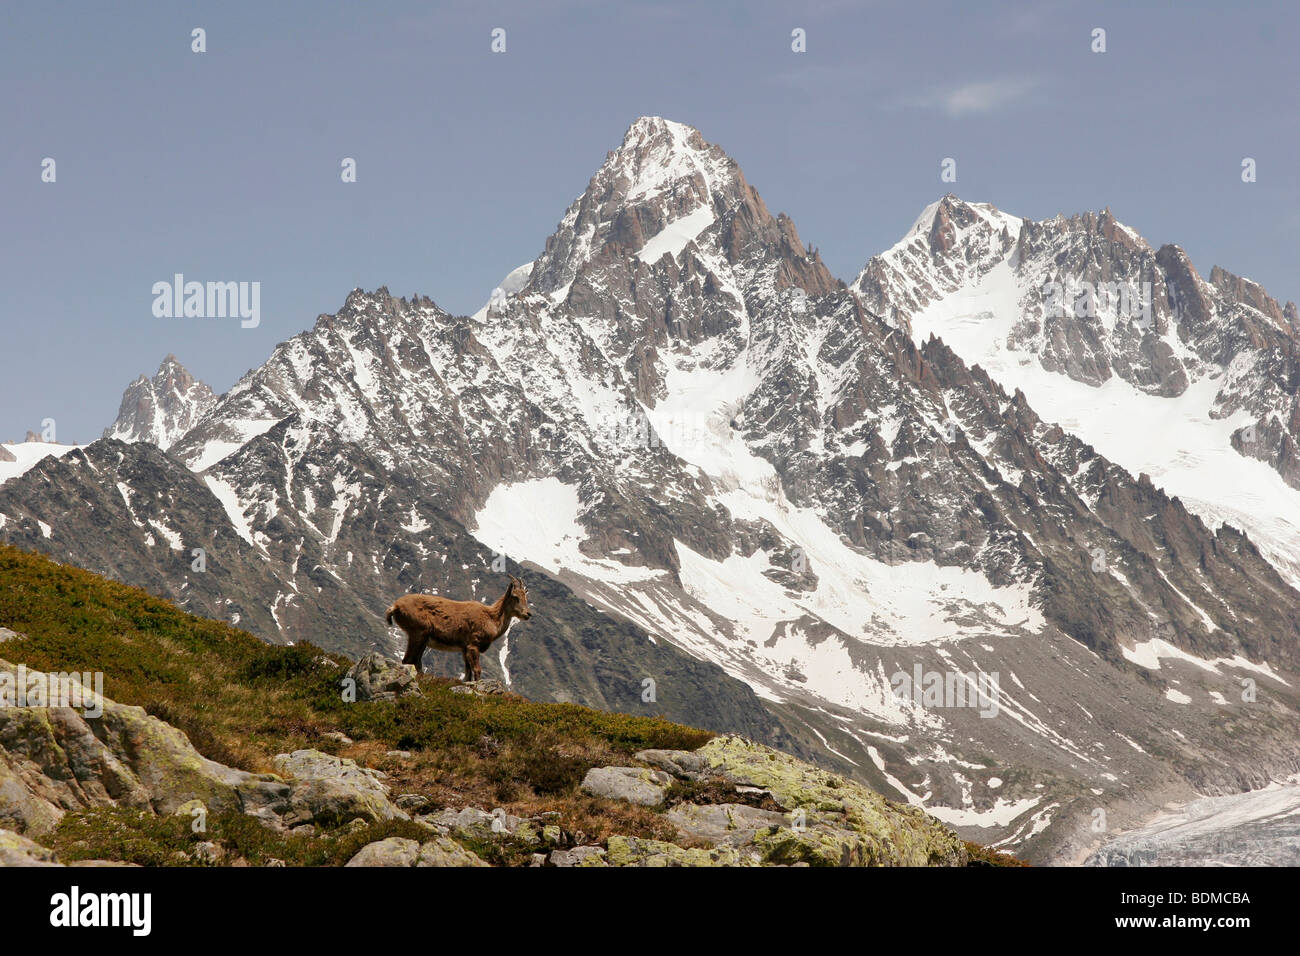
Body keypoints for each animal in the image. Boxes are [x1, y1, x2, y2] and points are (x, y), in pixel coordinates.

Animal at [385, 575, 531, 681]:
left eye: (525, 596)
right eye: (515, 597)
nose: (528, 614)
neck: (492, 618)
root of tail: (395, 606)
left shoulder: (464, 648)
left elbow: (467, 674)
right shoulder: (473, 645)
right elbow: (476, 670)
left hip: (422, 639)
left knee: (415, 661)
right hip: (418, 633)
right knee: (408, 660)